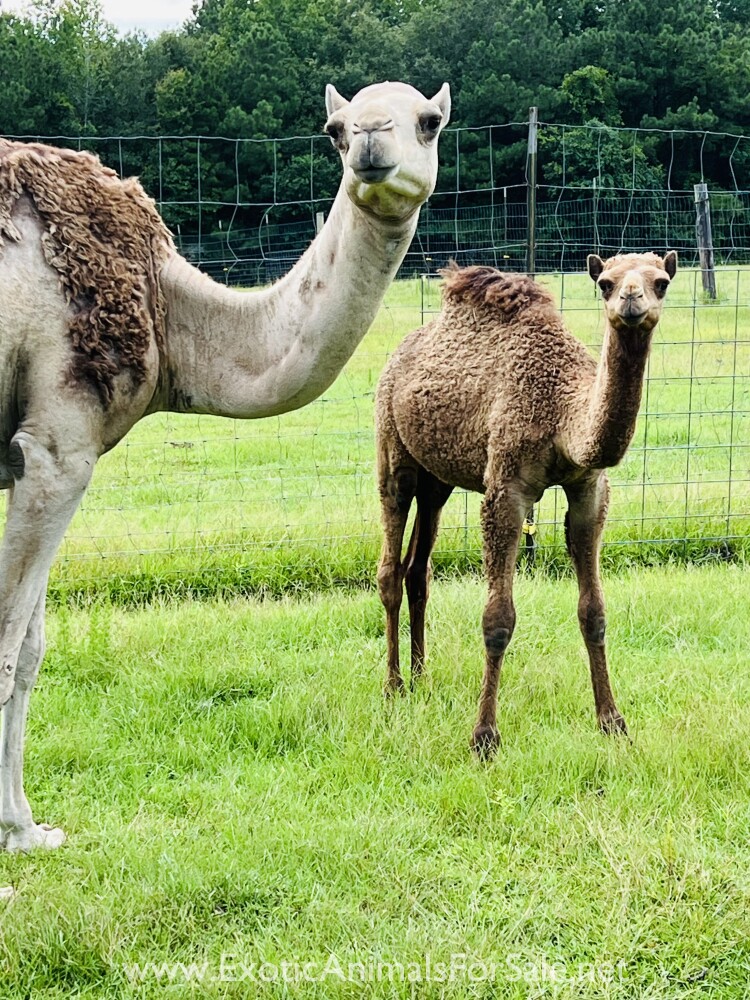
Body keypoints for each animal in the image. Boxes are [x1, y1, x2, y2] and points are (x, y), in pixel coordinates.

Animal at [0, 80, 451, 851]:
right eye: (334, 129)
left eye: (428, 121)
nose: (369, 141)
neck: (167, 305)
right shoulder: (59, 444)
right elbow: (6, 649)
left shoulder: (20, 454)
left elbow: (29, 650)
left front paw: (25, 829)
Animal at [376, 251, 677, 755]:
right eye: (605, 282)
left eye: (662, 281)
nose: (631, 300)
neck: (562, 411)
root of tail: (400, 351)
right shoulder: (506, 489)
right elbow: (498, 619)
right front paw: (484, 737)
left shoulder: (589, 488)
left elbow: (593, 611)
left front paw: (612, 721)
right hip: (393, 451)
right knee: (389, 566)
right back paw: (394, 685)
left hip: (438, 481)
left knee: (418, 569)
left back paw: (421, 677)